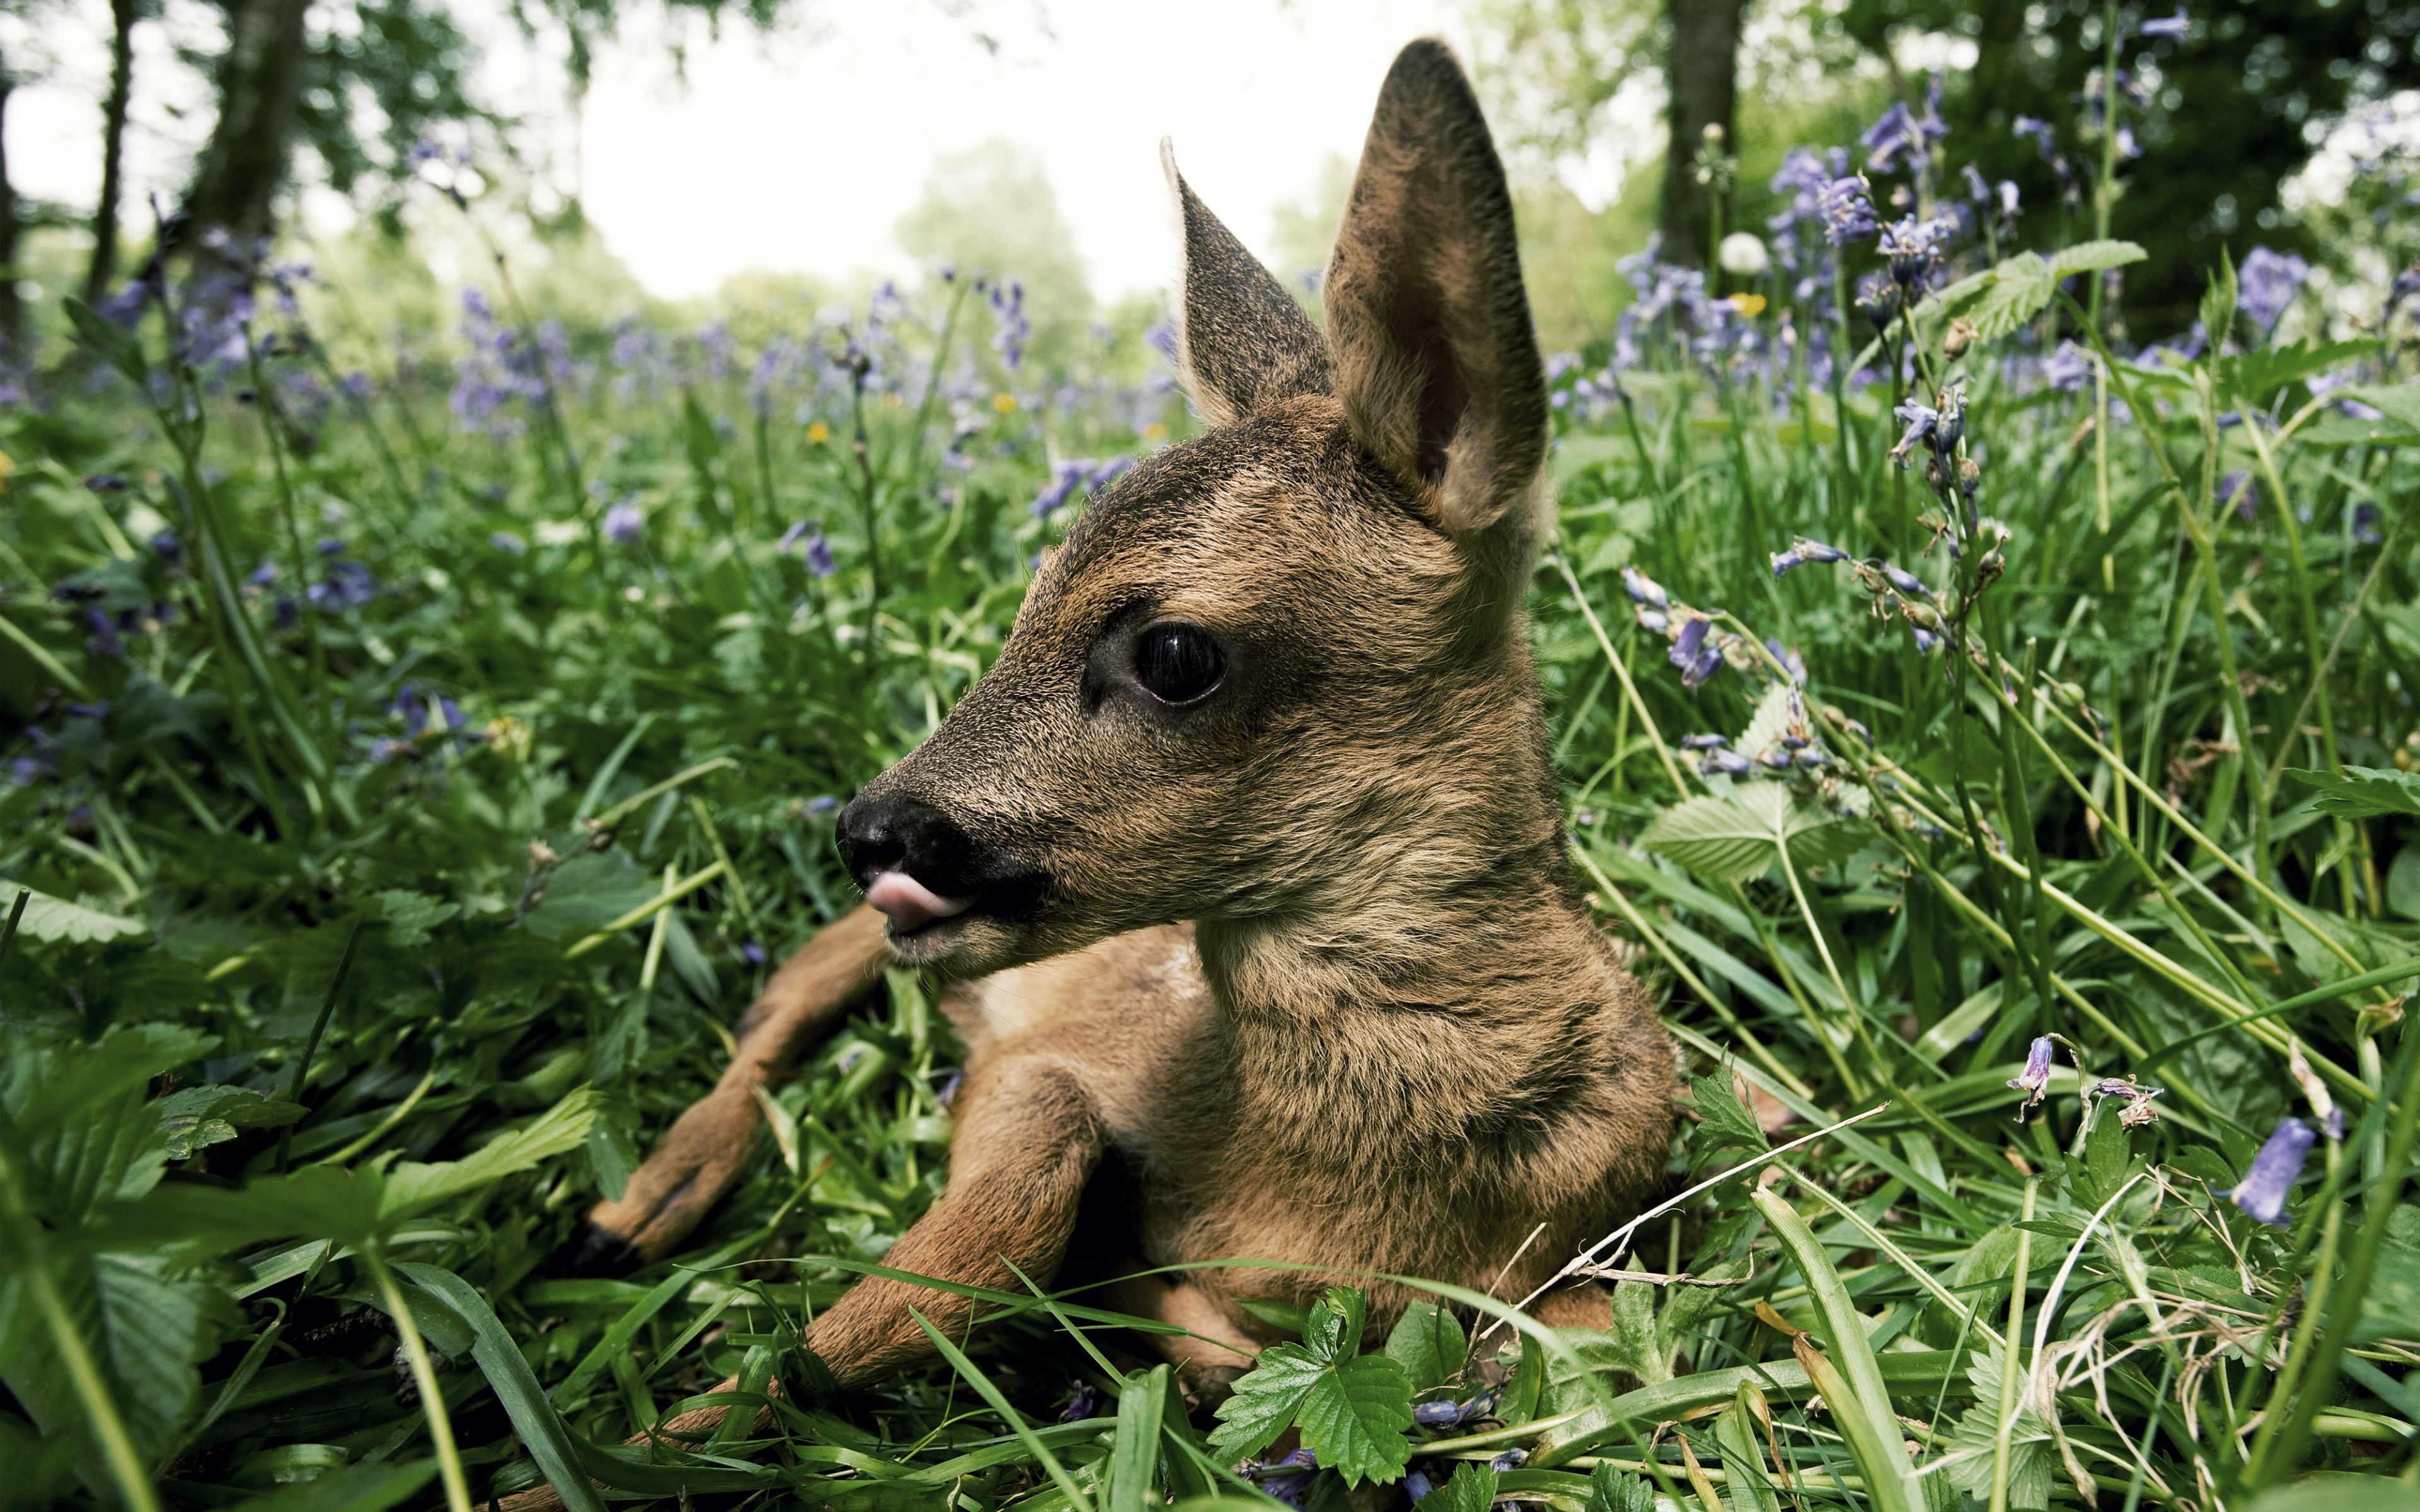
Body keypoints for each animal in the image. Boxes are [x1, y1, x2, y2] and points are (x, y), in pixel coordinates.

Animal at [538, 35, 1674, 1494]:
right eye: (1027, 592)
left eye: (1175, 653)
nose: (870, 828)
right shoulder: (1047, 1062)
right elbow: (939, 1273)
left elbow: (1582, 1345)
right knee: (790, 1000)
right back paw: (631, 1215)